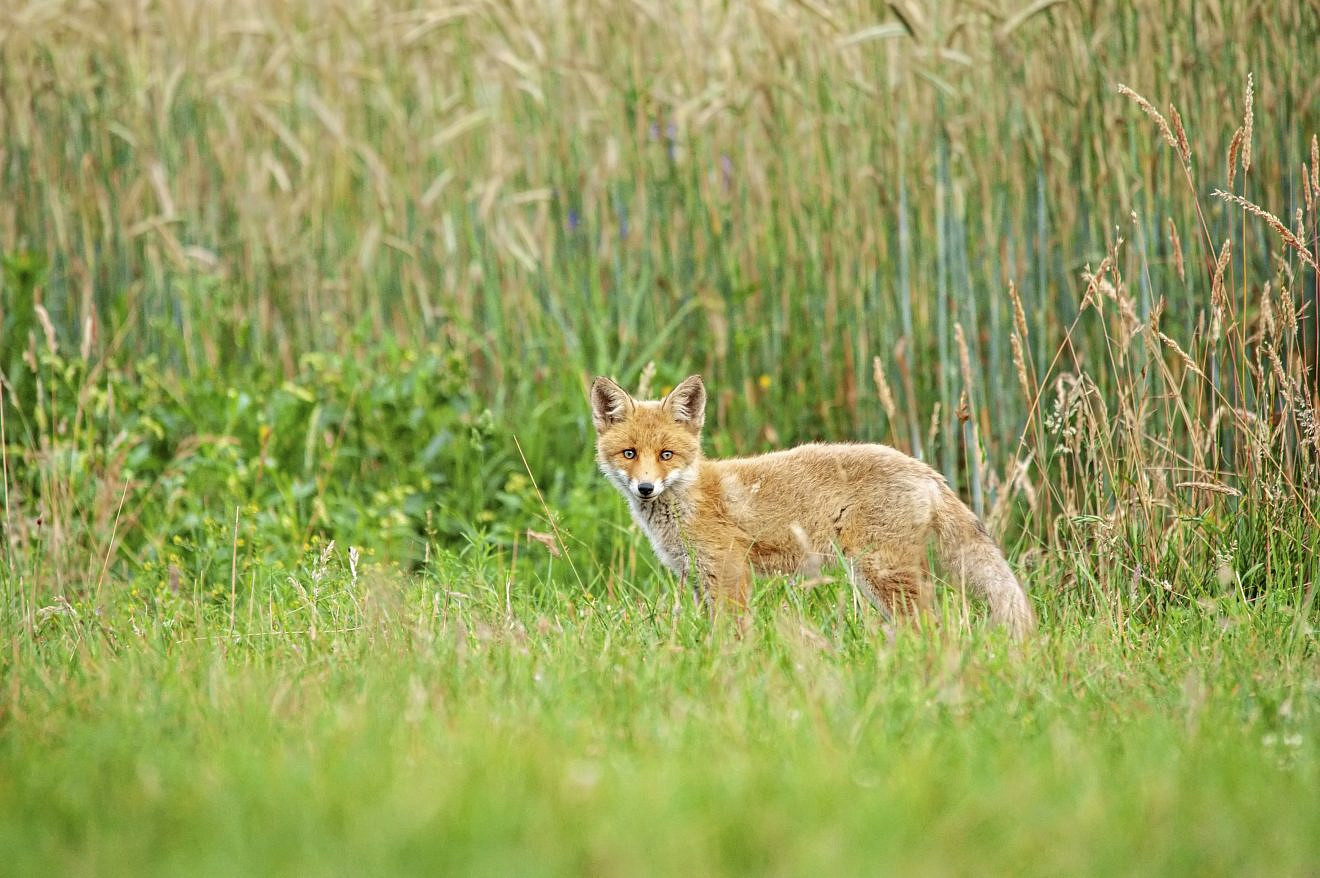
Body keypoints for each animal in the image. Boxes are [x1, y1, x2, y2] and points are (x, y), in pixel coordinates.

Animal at [589, 374, 1035, 638]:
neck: (690, 502)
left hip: (879, 572)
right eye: (630, 453)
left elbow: (733, 633)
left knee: (930, 624)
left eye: (666, 455)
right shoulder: (698, 578)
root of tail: (923, 468)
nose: (646, 488)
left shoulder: (730, 571)